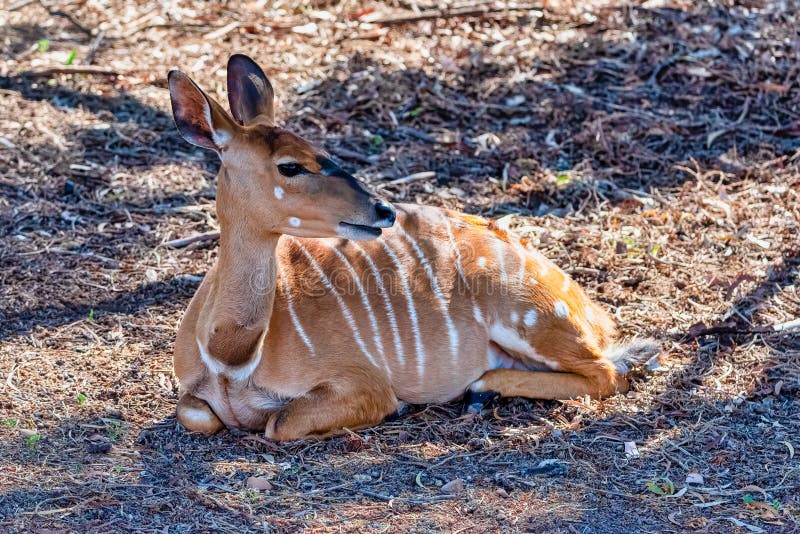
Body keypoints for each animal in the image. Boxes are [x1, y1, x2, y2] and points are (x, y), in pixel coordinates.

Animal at [168, 54, 661, 440]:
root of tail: (593, 313)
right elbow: (197, 416)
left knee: (608, 372)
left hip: (529, 312)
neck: (232, 356)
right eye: (289, 166)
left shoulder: (361, 383)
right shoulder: (192, 398)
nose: (383, 209)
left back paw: (483, 387)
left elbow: (279, 423)